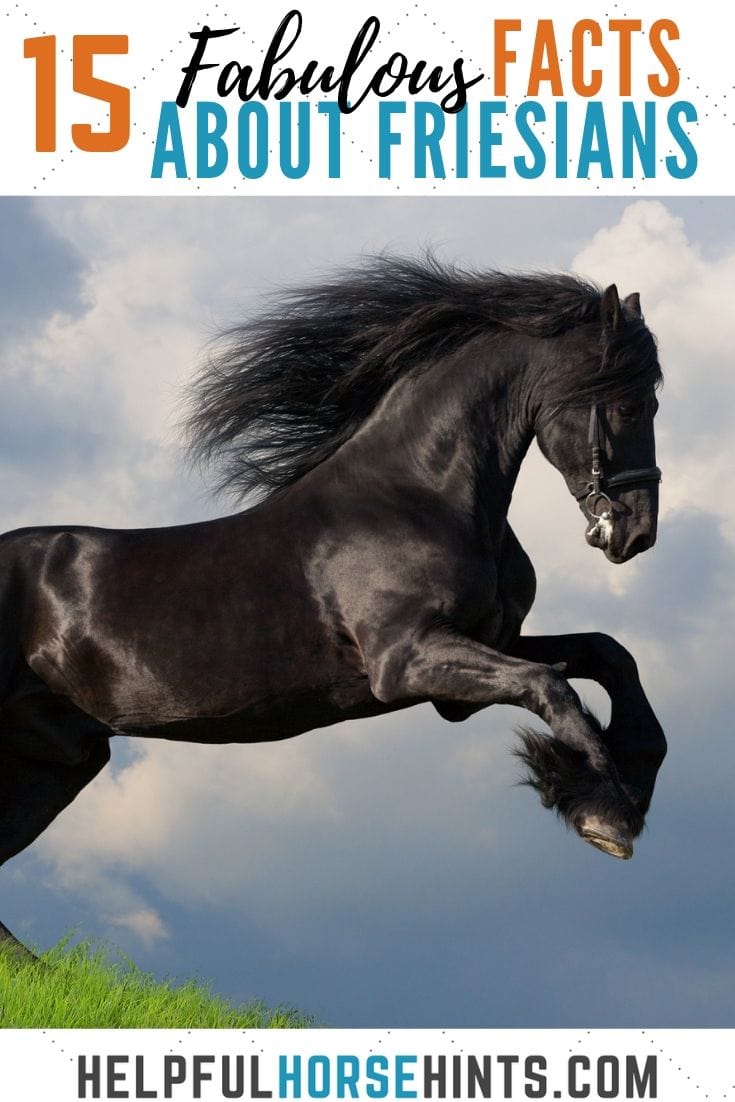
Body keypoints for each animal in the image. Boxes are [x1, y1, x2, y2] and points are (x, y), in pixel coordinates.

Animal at [0, 256, 666, 957]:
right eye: (628, 404)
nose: (635, 533)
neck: (414, 498)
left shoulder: (481, 655)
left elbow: (607, 656)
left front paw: (629, 777)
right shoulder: (407, 661)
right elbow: (552, 687)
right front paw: (606, 813)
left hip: (54, 760)